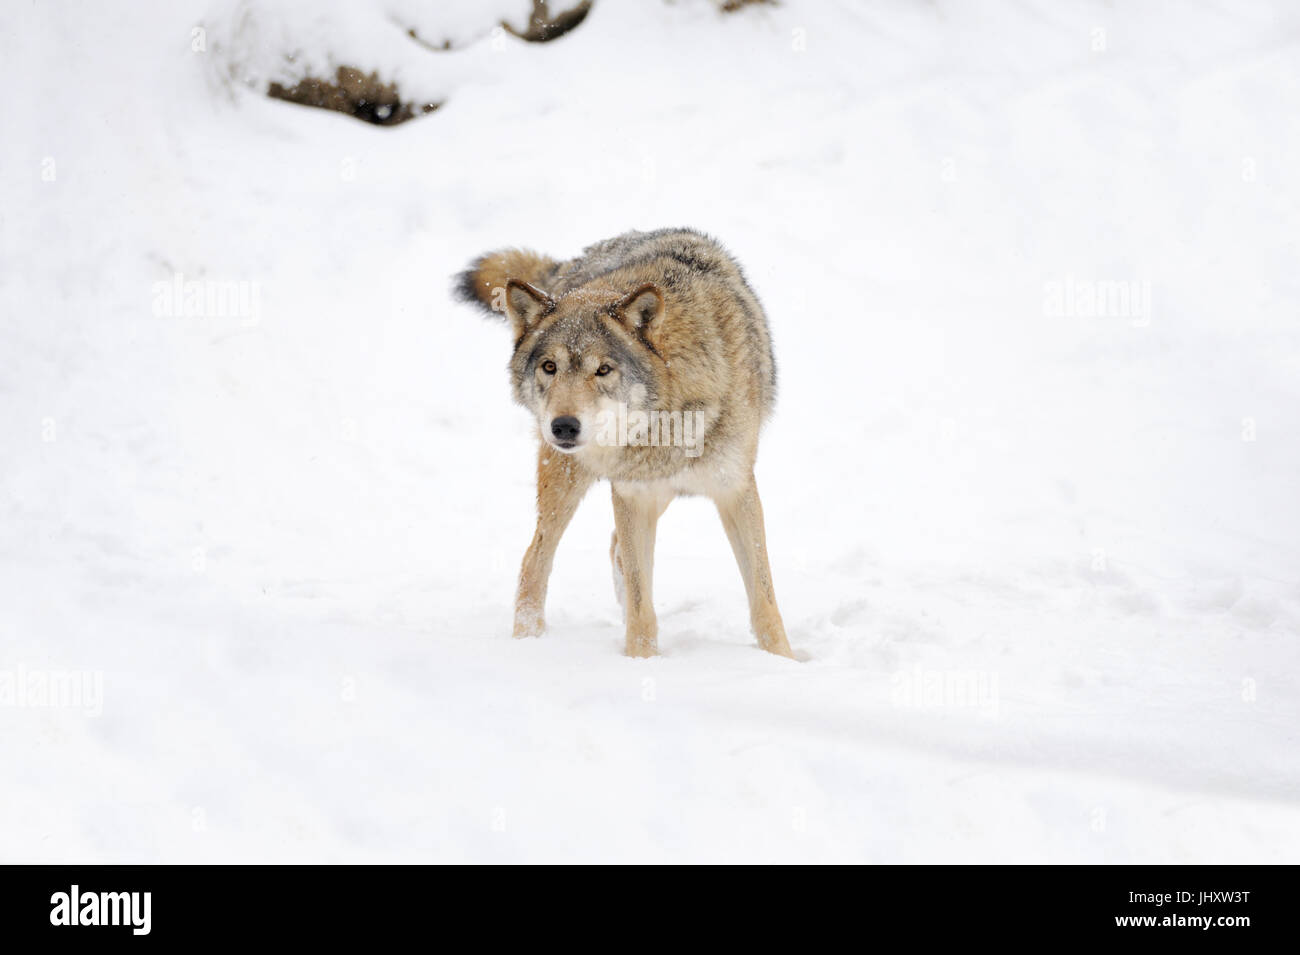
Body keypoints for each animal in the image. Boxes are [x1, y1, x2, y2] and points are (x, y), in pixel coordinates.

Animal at [454, 228, 793, 659]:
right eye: (549, 367)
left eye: (603, 369)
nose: (564, 427)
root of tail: (575, 267)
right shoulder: (632, 495)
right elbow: (641, 606)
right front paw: (641, 662)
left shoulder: (734, 489)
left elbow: (764, 602)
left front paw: (784, 660)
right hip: (567, 477)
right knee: (534, 558)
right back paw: (528, 643)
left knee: (613, 548)